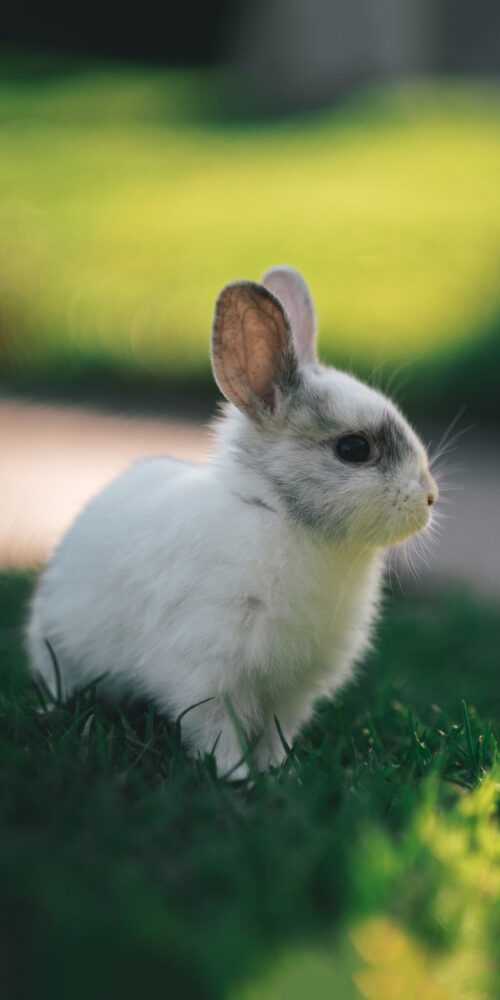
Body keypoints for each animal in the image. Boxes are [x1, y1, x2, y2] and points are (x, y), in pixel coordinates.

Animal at [26, 267, 438, 779]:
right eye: (354, 449)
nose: (429, 498)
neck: (281, 515)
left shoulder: (292, 689)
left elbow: (276, 732)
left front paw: (277, 772)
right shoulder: (210, 671)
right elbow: (219, 732)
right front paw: (234, 777)